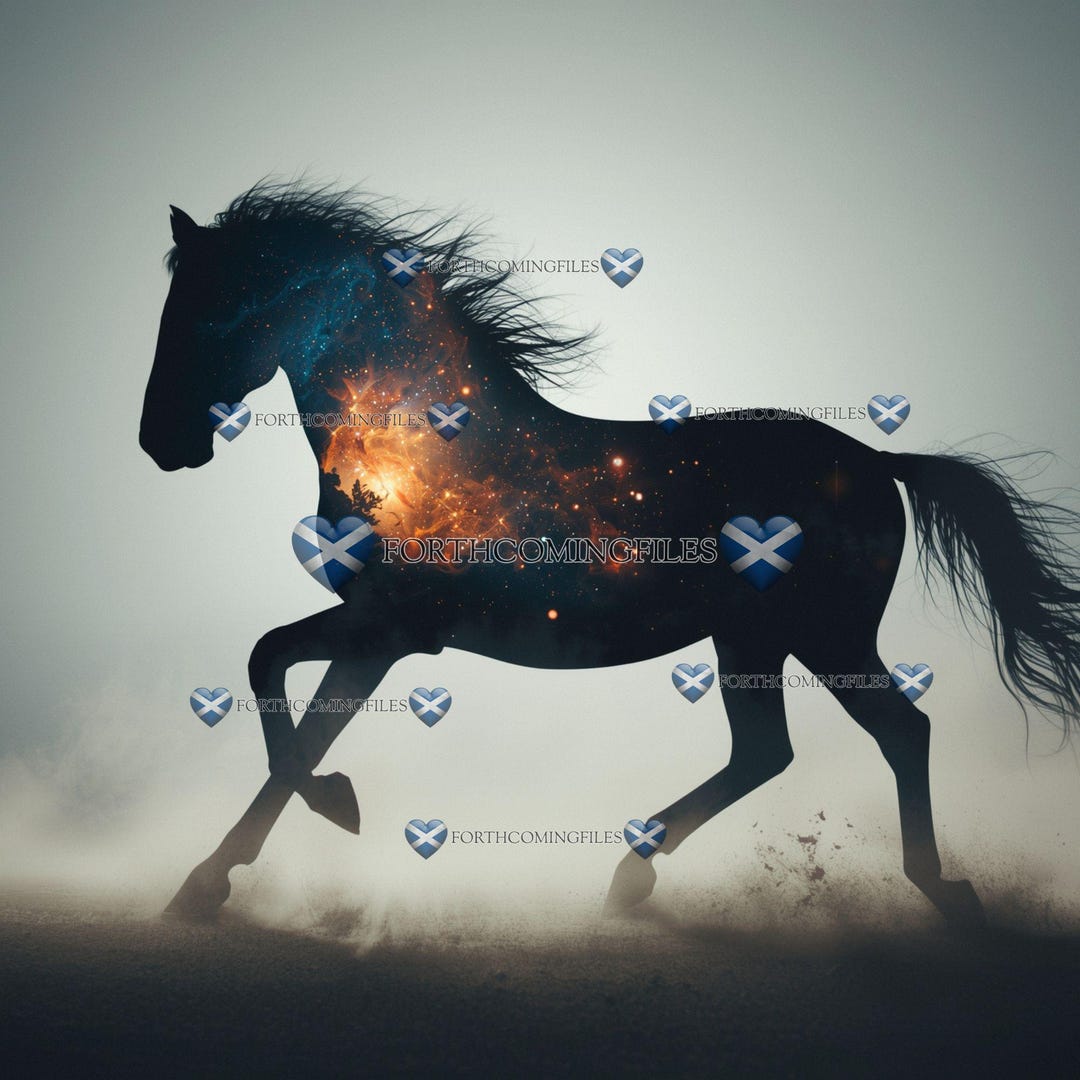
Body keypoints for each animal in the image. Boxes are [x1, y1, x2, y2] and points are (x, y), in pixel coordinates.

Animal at [140, 183, 1080, 927]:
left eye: (207, 310)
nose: (158, 443)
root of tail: (879, 460)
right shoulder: (376, 630)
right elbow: (284, 695)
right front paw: (221, 874)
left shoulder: (390, 629)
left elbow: (284, 698)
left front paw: (296, 829)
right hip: (754, 639)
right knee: (767, 752)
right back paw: (632, 879)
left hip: (824, 633)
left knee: (898, 732)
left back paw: (944, 894)